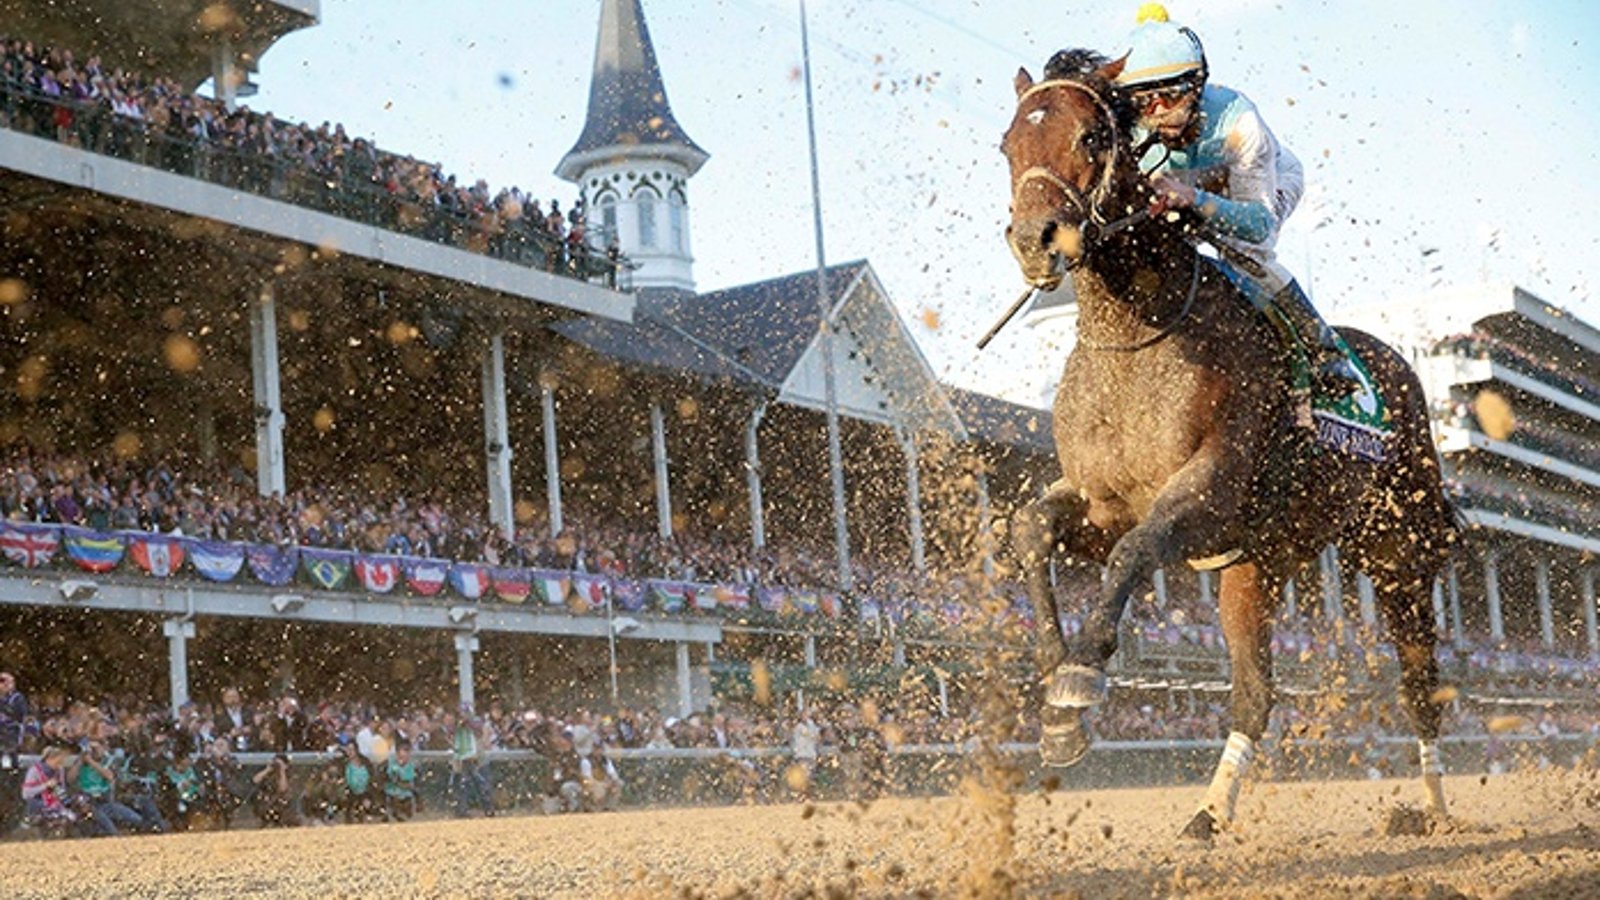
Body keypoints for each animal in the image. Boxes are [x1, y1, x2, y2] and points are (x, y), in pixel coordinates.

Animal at [999, 50, 1460, 841]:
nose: (1036, 240)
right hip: (1258, 569)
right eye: (1007, 145)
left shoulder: (1208, 495)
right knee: (1254, 692)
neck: (1137, 337)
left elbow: (1134, 552)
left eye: (1092, 136)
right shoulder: (1102, 502)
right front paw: (1056, 690)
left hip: (1398, 553)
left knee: (1419, 680)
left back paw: (1429, 806)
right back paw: (1211, 809)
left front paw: (1081, 678)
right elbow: (1034, 527)